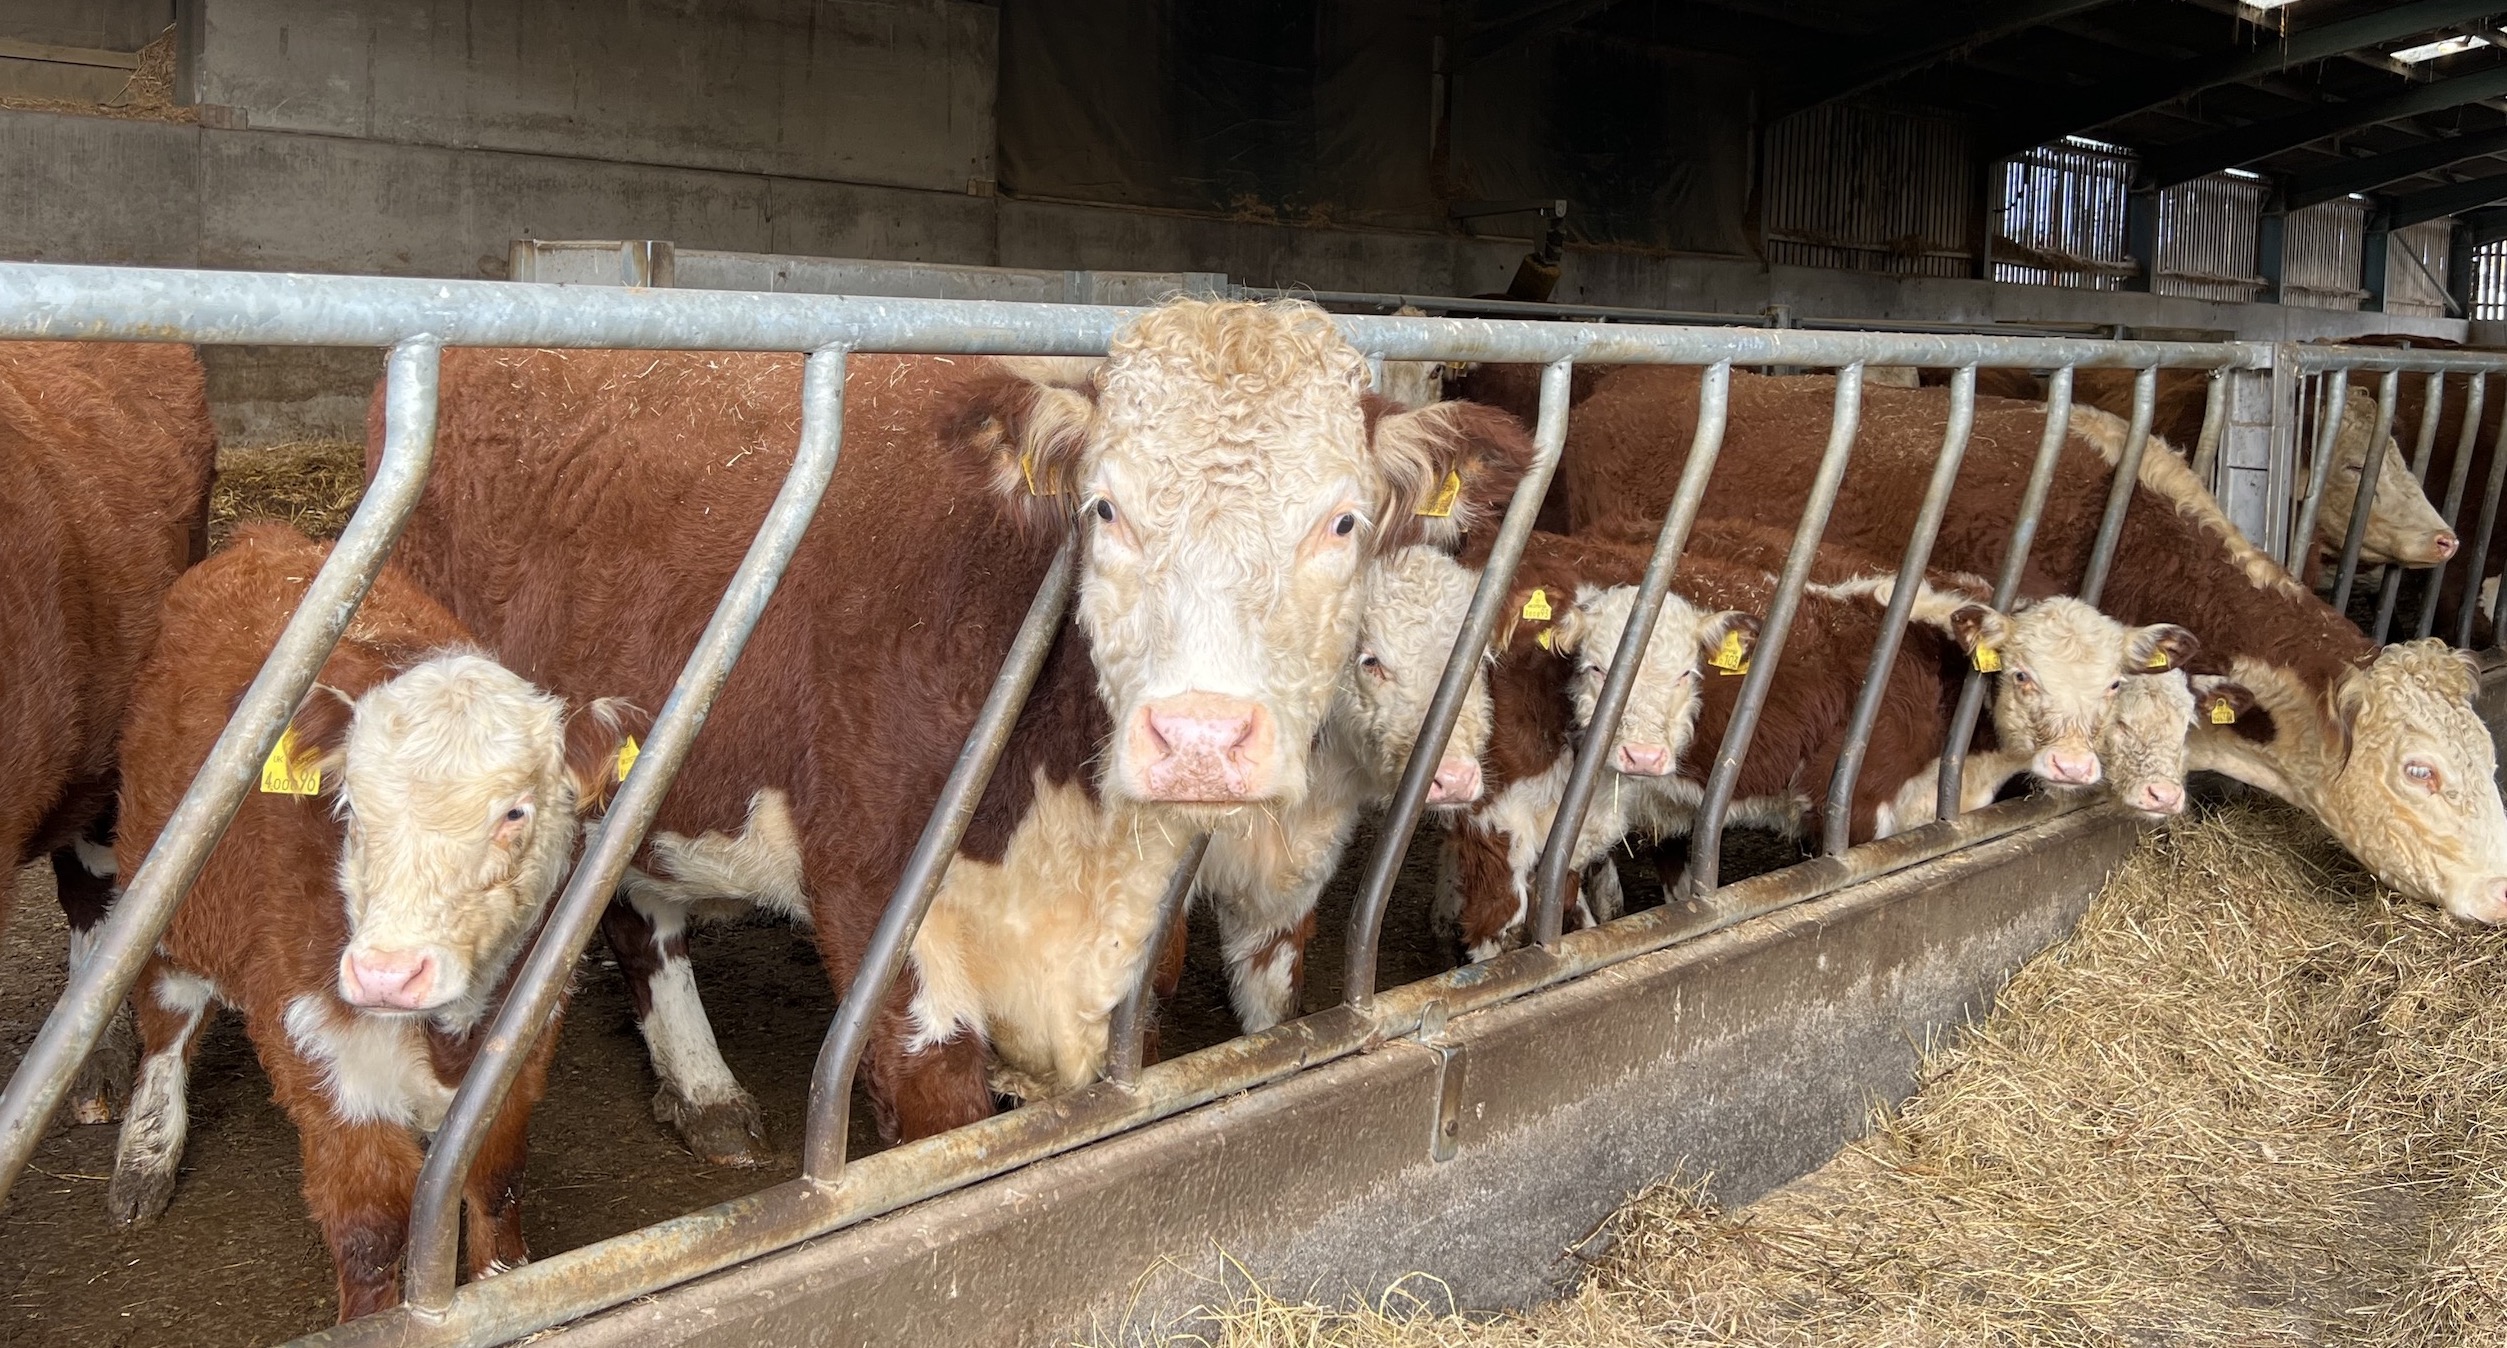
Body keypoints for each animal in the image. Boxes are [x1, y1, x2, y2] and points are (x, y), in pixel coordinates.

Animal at [102, 524, 642, 1321]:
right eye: (350, 804)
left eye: (515, 812)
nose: (387, 973)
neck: (448, 1035)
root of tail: (265, 536)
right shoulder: (318, 1051)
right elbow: (371, 1229)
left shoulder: (527, 1037)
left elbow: (495, 1182)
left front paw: (504, 1284)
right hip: (162, 874)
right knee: (168, 1016)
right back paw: (145, 1156)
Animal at [377, 300, 1536, 1159]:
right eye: (1103, 508)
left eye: (1342, 521)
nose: (1201, 739)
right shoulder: (879, 914)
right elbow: (943, 1116)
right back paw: (703, 1089)